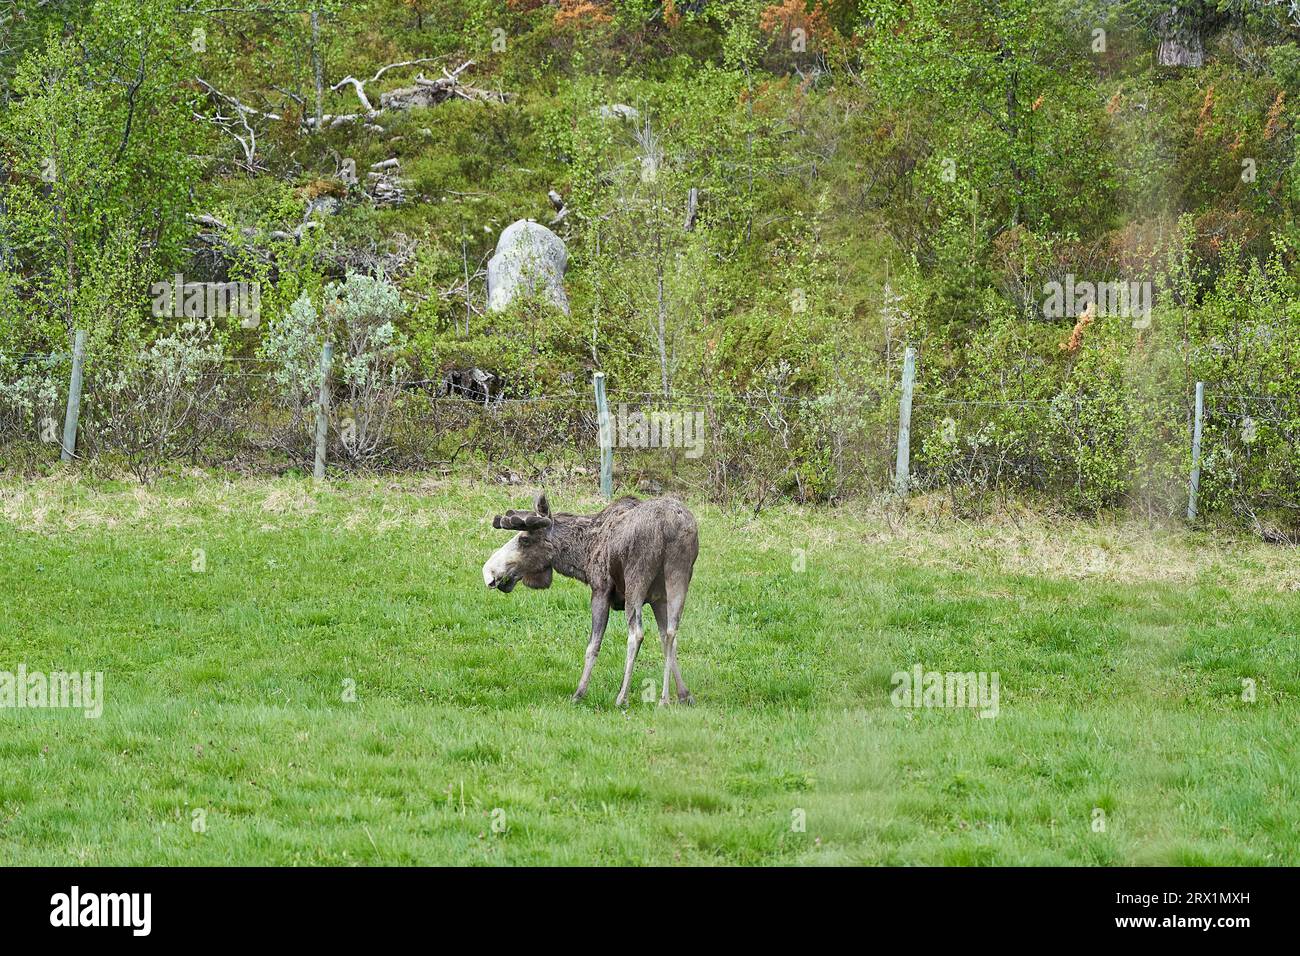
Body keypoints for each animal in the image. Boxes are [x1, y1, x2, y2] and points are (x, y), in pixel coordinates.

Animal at [482, 492, 699, 708]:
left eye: (525, 539)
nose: (488, 571)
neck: (582, 555)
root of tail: (671, 524)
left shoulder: (600, 591)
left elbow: (592, 646)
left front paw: (579, 693)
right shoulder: (657, 599)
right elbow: (665, 638)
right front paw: (683, 694)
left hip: (635, 580)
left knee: (636, 634)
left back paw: (622, 697)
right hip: (679, 575)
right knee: (672, 631)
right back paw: (664, 699)